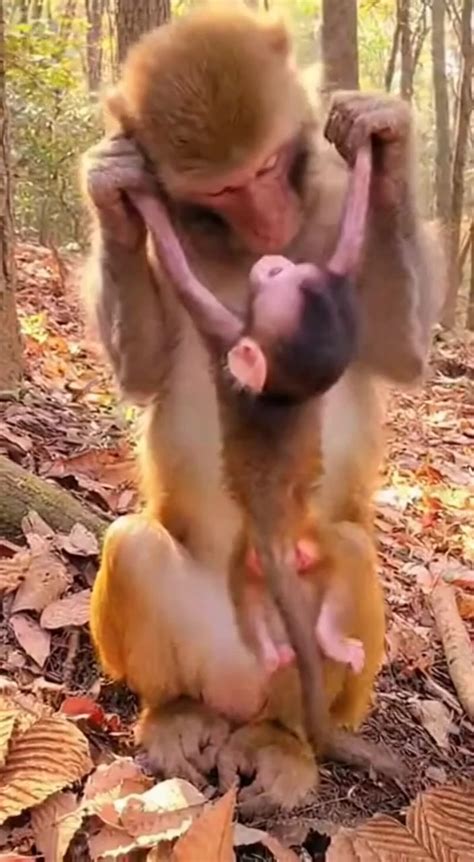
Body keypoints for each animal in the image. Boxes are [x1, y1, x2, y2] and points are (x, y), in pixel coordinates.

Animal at [83, 5, 444, 811]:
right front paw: (113, 188)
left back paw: (283, 740)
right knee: (134, 545)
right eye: (222, 192)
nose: (271, 220)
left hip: (319, 665)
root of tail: (238, 689)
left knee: (352, 551)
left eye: (270, 167)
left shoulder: (334, 212)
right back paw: (176, 713)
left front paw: (385, 139)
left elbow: (400, 355)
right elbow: (142, 375)